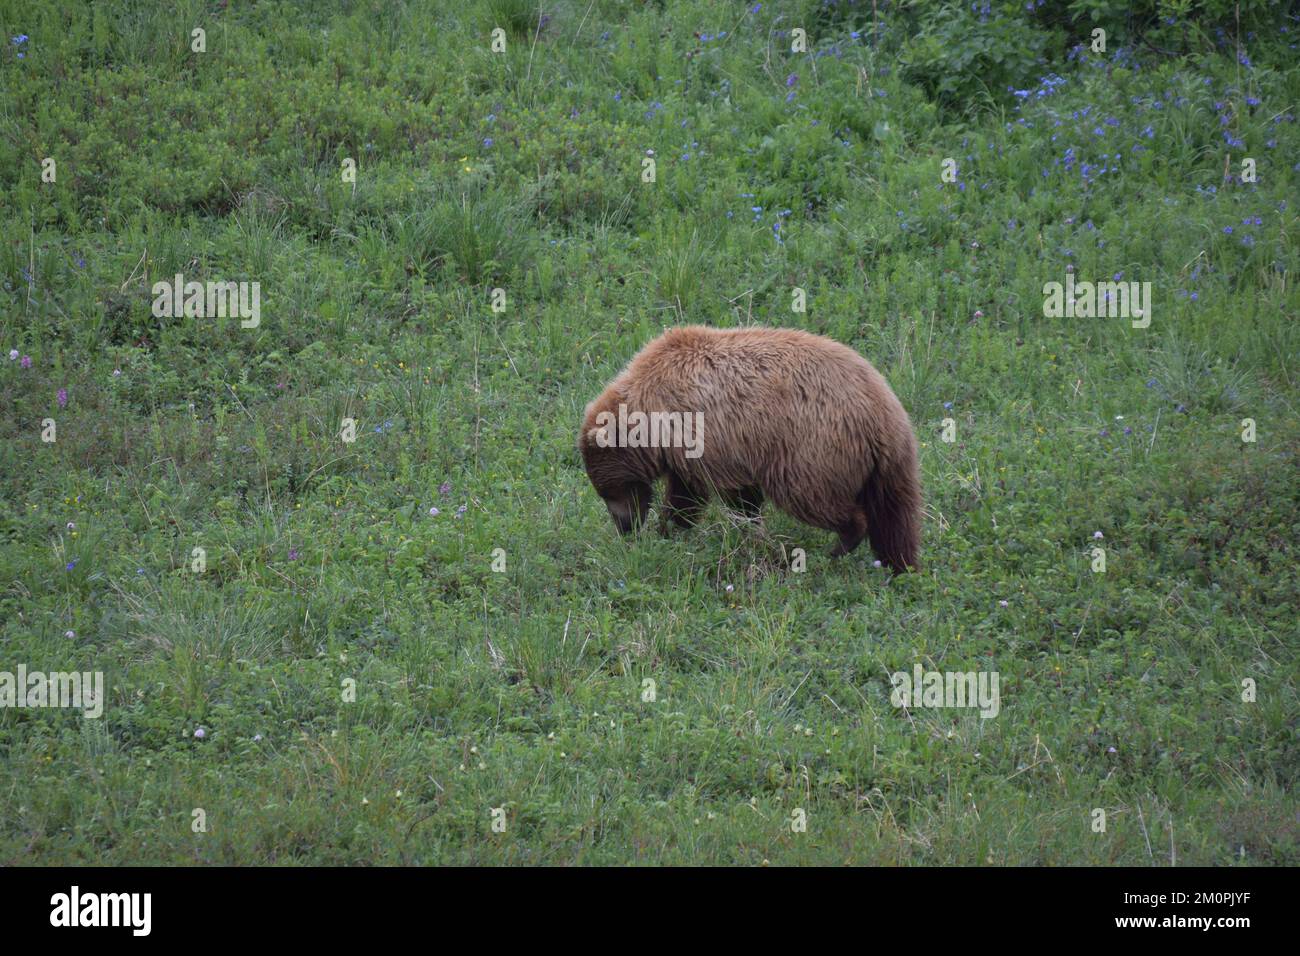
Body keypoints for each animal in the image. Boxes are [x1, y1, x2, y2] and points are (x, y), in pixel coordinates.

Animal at [578, 325, 922, 572]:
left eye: (609, 493)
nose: (626, 528)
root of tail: (879, 411)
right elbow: (710, 494)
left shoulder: (707, 436)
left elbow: (703, 495)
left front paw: (669, 529)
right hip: (893, 461)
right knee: (895, 514)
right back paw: (899, 565)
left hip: (811, 449)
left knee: (812, 496)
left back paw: (842, 544)